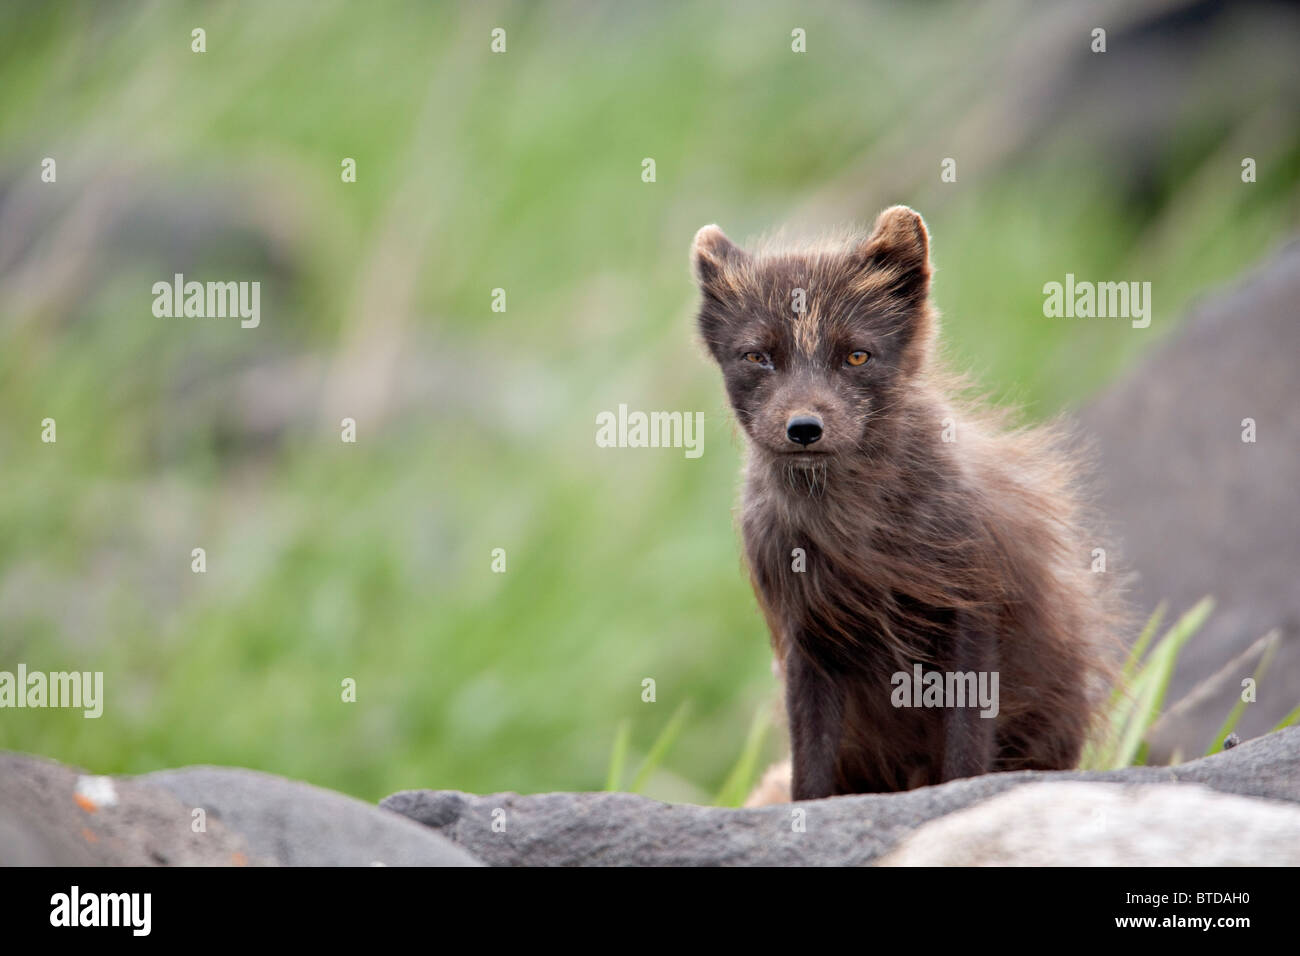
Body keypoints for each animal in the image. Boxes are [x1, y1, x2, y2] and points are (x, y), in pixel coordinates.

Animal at [691, 206, 1124, 801]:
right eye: (757, 357)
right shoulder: (807, 634)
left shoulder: (971, 609)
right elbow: (810, 766)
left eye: (856, 355)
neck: (855, 531)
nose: (804, 429)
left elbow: (965, 747)